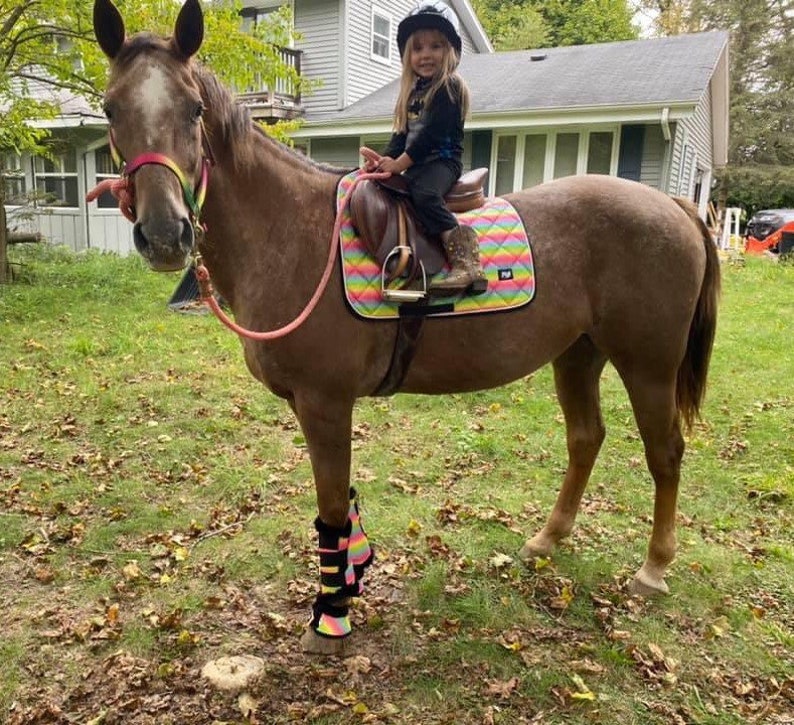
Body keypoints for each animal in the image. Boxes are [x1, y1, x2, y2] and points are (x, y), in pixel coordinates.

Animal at [91, 0, 720, 655]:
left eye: (194, 109)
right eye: (110, 108)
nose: (166, 233)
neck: (291, 229)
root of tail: (675, 206)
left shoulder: (325, 402)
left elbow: (331, 509)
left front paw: (331, 617)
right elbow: (341, 507)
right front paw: (348, 583)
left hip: (648, 364)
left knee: (665, 453)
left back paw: (653, 568)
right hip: (578, 353)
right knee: (585, 439)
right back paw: (548, 539)